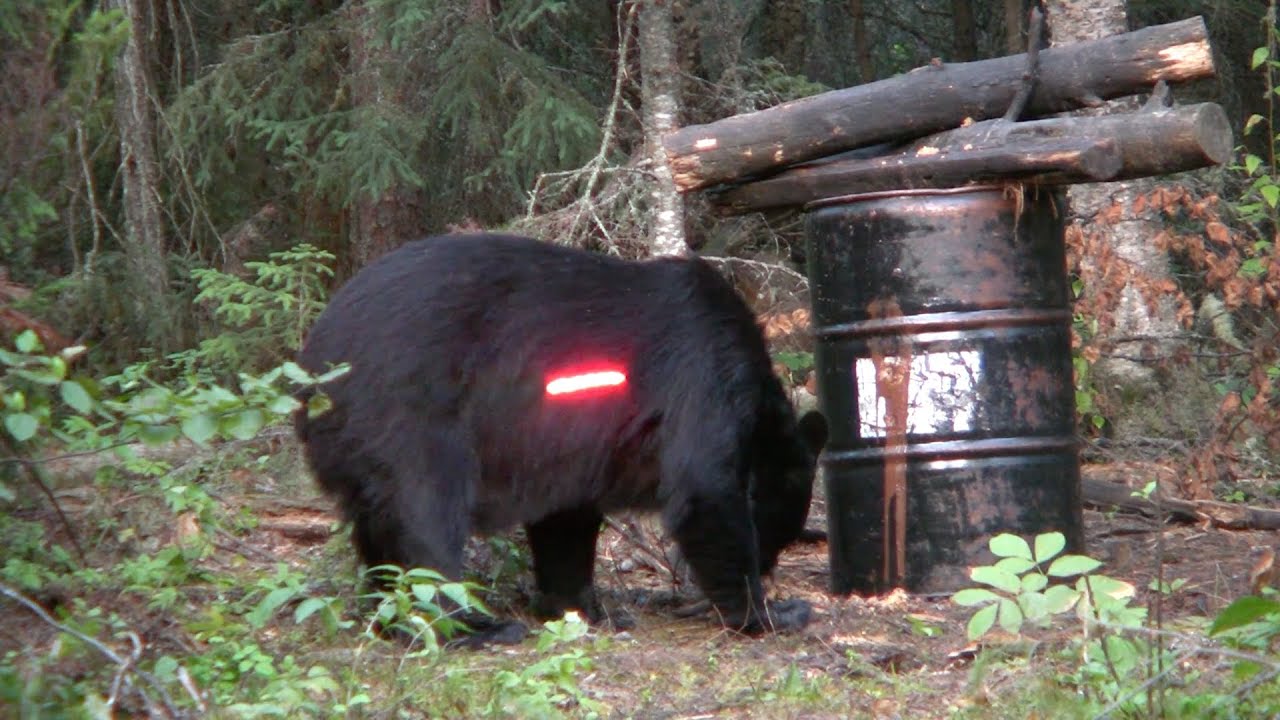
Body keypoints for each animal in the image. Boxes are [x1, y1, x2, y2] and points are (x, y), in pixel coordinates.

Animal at [295, 233, 827, 640]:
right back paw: (473, 627)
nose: (768, 569)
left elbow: (565, 519)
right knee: (427, 514)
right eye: (771, 535)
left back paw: (389, 615)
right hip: (410, 414)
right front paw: (769, 613)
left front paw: (584, 607)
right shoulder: (701, 376)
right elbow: (704, 487)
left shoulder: (571, 448)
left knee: (376, 523)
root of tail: (314, 359)